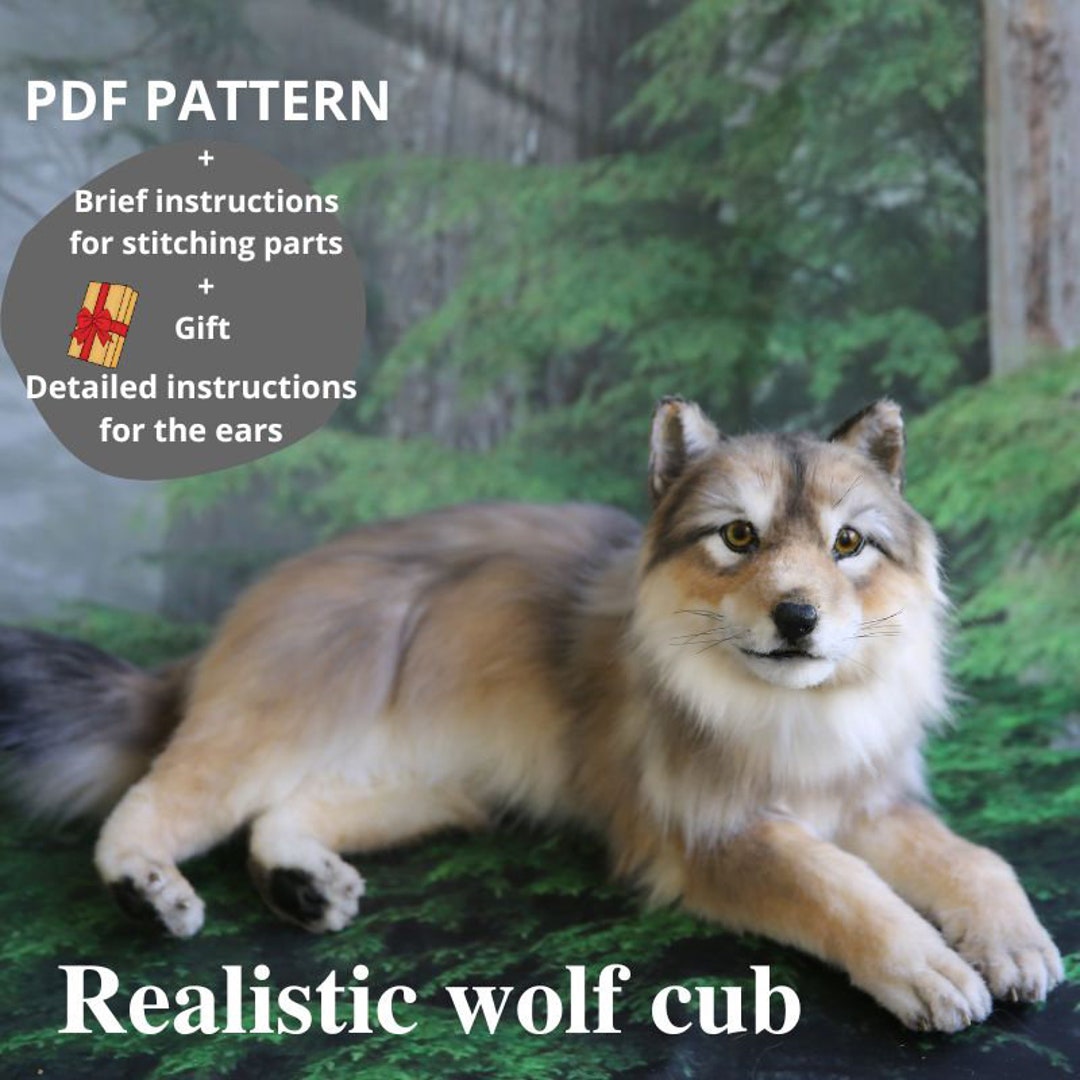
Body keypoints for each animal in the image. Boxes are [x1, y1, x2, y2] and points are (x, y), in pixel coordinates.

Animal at [0, 398, 1062, 1032]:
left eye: (848, 544)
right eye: (738, 536)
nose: (797, 618)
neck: (781, 716)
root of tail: (242, 613)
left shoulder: (867, 800)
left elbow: (975, 859)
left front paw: (1009, 938)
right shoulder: (719, 836)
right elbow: (846, 890)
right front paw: (924, 965)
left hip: (432, 785)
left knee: (283, 818)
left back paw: (304, 885)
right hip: (269, 736)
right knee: (149, 806)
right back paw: (147, 890)